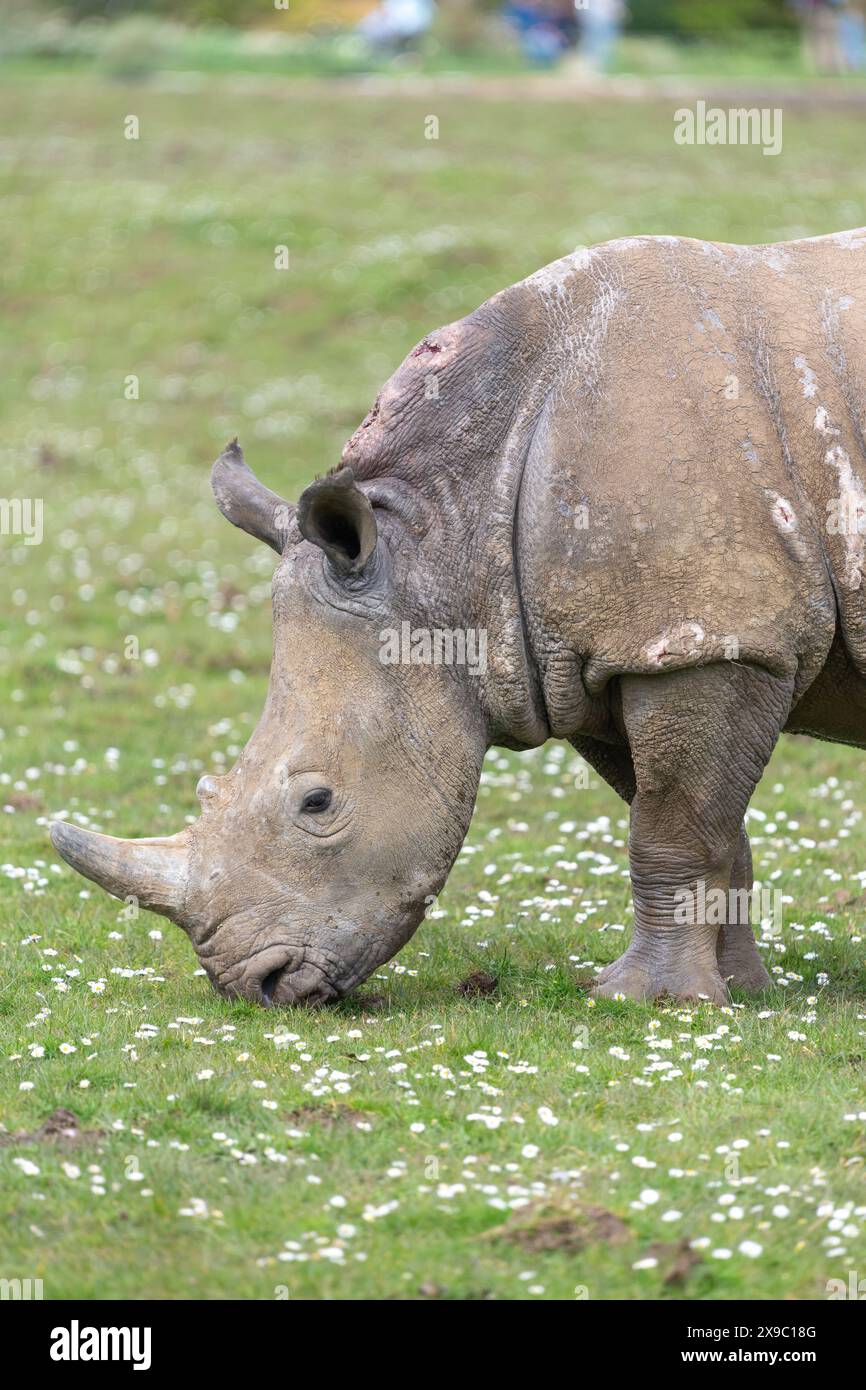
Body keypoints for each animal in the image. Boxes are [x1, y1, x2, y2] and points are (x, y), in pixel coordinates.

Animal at [51, 228, 866, 1007]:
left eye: (318, 802)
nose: (257, 984)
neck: (444, 534)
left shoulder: (708, 640)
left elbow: (672, 828)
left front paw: (652, 1002)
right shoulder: (598, 654)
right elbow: (703, 824)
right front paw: (741, 994)